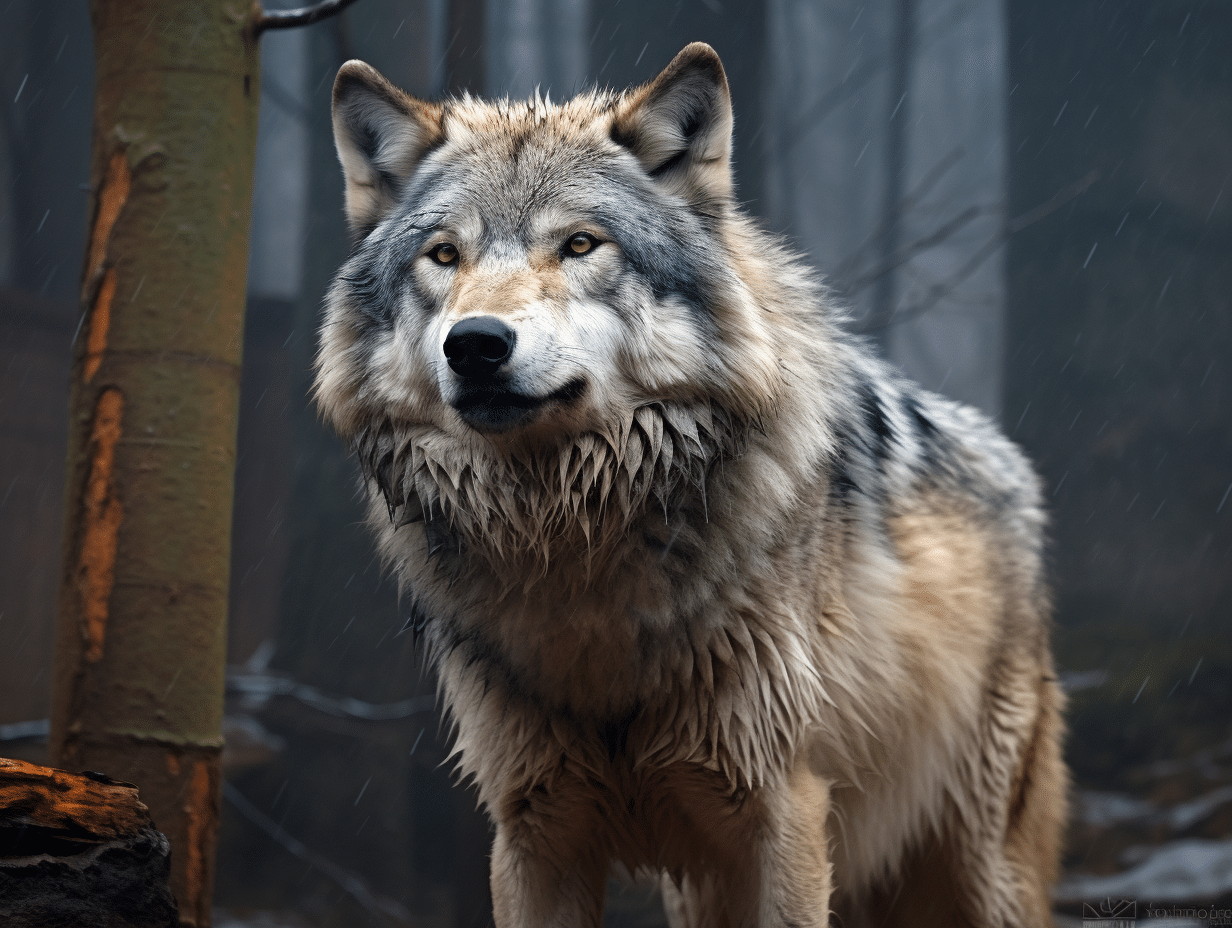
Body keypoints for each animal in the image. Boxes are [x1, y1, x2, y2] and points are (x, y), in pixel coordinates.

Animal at [315, 42, 1066, 928]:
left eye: (580, 245)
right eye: (443, 256)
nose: (474, 344)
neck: (575, 560)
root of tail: (1011, 464)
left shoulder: (784, 815)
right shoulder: (533, 829)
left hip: (978, 869)